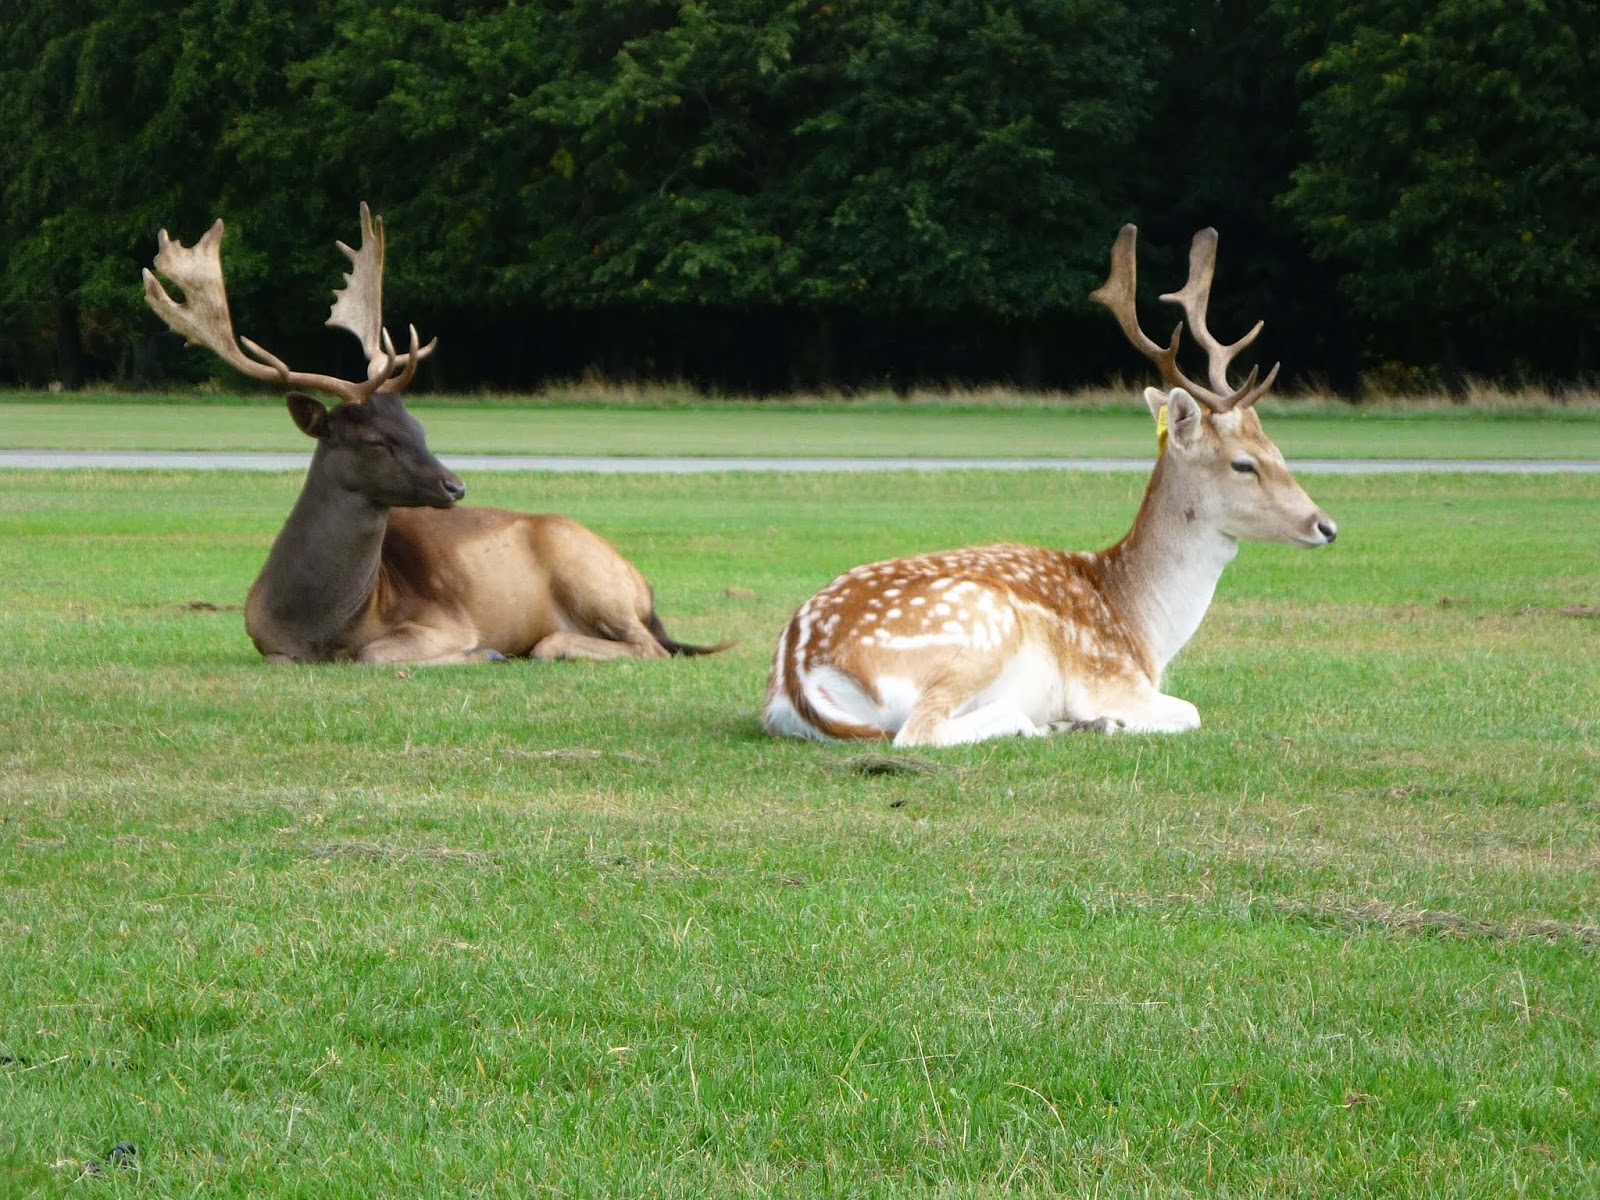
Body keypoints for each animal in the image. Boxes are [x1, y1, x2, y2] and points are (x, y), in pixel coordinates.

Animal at [143, 204, 723, 665]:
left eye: (418, 426)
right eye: (377, 440)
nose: (455, 486)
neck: (321, 624)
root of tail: (645, 587)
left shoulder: (446, 620)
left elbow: (375, 654)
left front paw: (484, 652)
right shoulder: (268, 645)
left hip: (593, 577)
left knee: (645, 647)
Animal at [763, 224, 1338, 747]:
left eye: (1278, 450)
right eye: (1243, 464)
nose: (1325, 526)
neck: (1143, 629)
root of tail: (798, 676)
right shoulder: (1109, 677)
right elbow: (1191, 711)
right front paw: (1106, 720)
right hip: (980, 630)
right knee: (921, 731)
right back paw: (1071, 723)